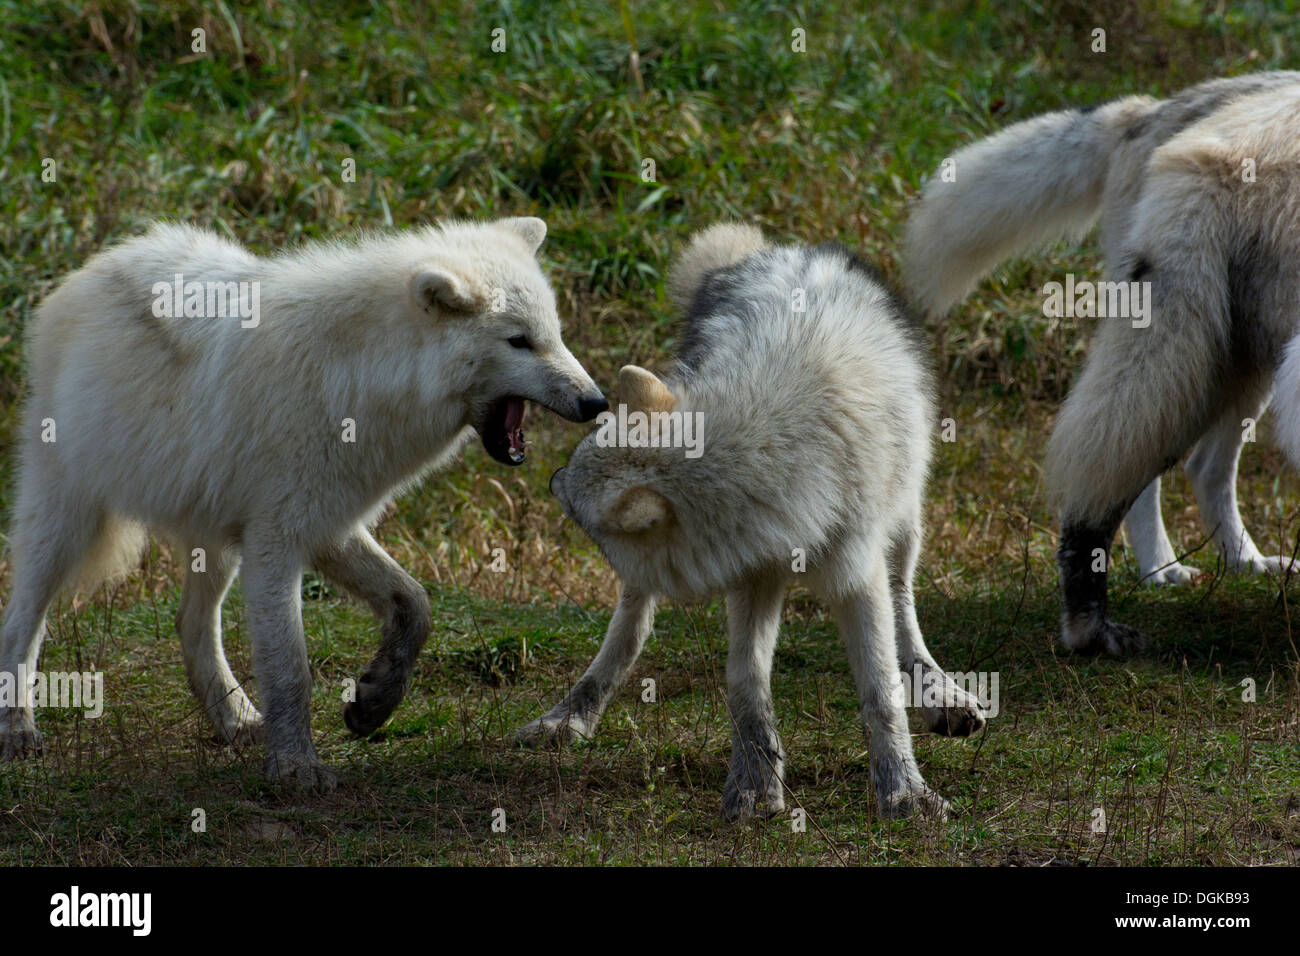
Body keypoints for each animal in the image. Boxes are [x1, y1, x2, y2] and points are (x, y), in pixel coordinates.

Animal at [0, 218, 607, 791]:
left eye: (554, 336)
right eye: (519, 341)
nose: (596, 402)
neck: (362, 376)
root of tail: (91, 268)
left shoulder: (328, 524)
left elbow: (415, 604)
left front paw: (374, 702)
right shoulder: (278, 541)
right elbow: (292, 668)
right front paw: (296, 768)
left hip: (217, 543)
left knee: (191, 624)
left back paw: (238, 720)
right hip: (65, 522)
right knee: (23, 618)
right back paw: (18, 729)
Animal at [516, 224, 986, 821]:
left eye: (575, 508)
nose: (552, 481)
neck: (772, 454)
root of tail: (775, 250)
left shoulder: (856, 576)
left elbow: (881, 693)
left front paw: (905, 792)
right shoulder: (750, 574)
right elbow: (744, 685)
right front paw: (756, 785)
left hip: (904, 522)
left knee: (904, 606)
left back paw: (941, 695)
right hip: (648, 584)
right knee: (630, 629)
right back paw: (571, 715)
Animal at [902, 72, 1300, 655]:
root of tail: (1146, 111)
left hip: (1232, 360)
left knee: (1191, 465)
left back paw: (1238, 565)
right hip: (1208, 353)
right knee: (1147, 471)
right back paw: (1149, 584)